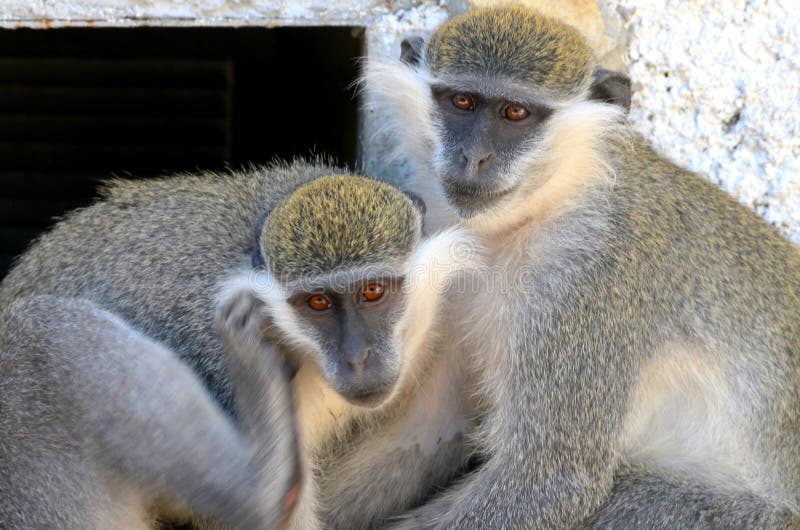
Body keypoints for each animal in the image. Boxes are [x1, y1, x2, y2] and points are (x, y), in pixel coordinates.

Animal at [364, 6, 800, 528]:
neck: (554, 199)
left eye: (515, 113)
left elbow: (549, 479)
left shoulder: (586, 281)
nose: (474, 157)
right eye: (462, 101)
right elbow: (420, 433)